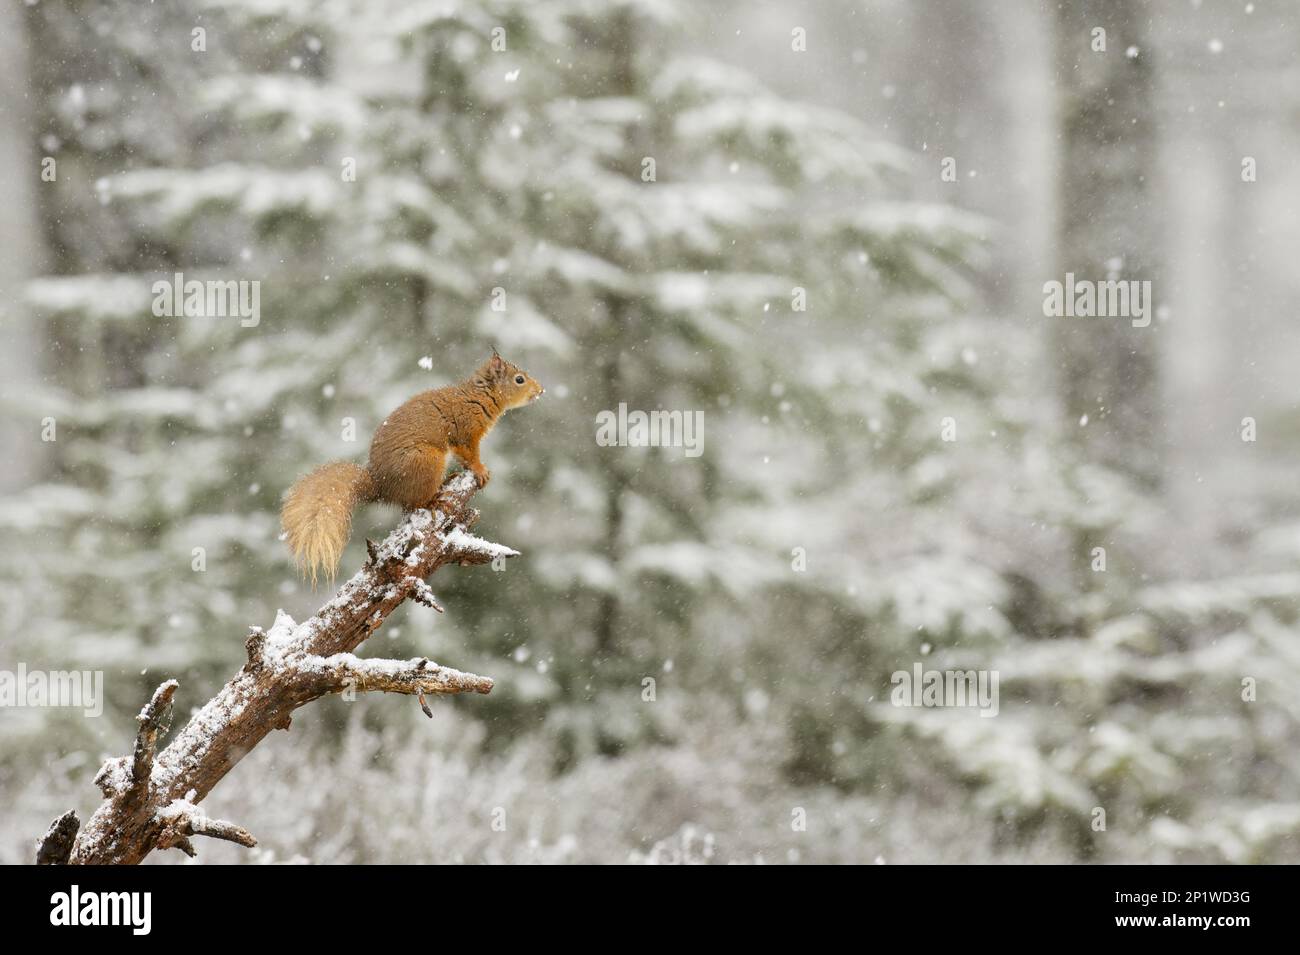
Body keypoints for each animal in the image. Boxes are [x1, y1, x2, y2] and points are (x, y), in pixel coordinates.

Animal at [282, 348, 544, 585]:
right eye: (519, 379)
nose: (541, 390)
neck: (478, 396)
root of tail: (382, 487)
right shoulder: (465, 432)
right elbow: (469, 455)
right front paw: (480, 470)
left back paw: (447, 481)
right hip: (427, 460)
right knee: (414, 503)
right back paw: (435, 501)